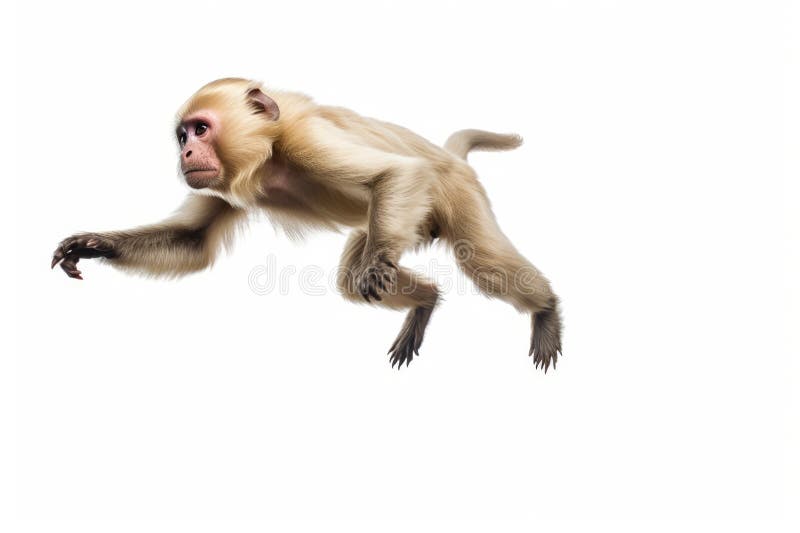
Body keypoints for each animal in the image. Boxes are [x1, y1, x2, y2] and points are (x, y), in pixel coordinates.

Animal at [51, 78, 563, 371]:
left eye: (200, 129)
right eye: (182, 136)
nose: (185, 153)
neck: (270, 155)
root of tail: (449, 159)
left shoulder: (305, 140)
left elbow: (396, 174)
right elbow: (192, 240)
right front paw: (91, 245)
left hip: (451, 192)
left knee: (481, 260)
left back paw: (545, 311)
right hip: (405, 221)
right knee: (352, 279)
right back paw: (425, 302)